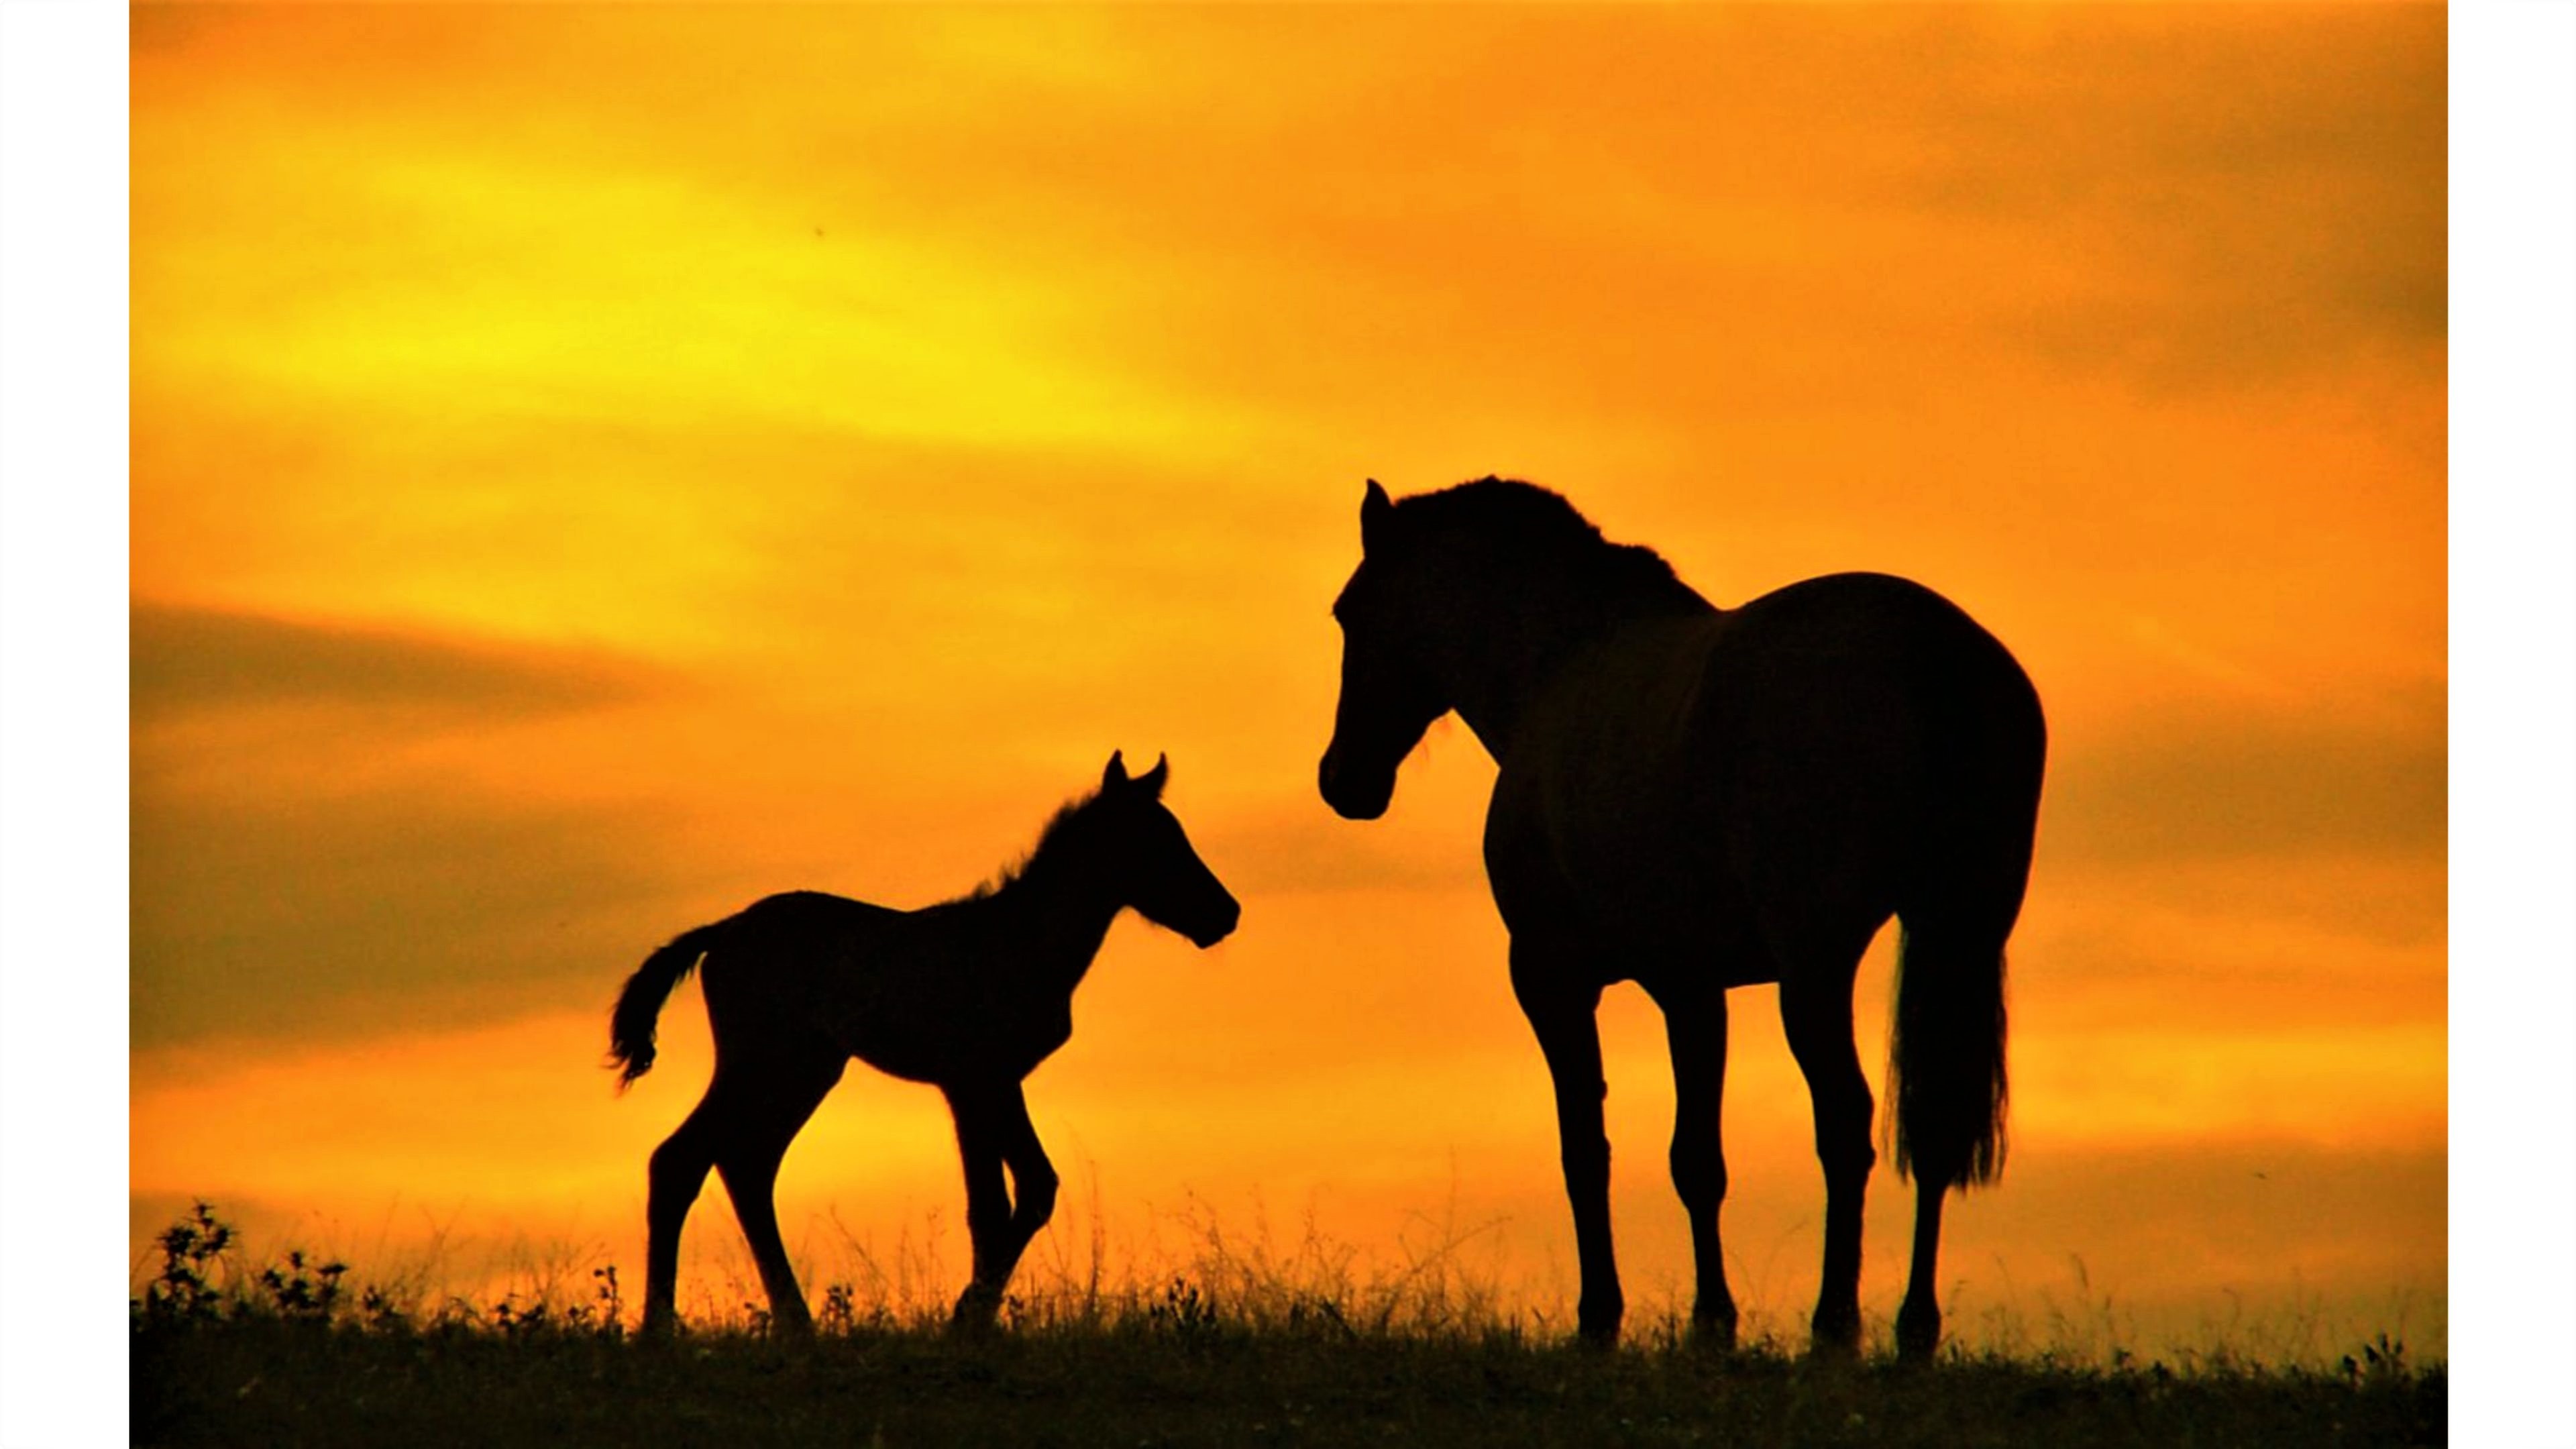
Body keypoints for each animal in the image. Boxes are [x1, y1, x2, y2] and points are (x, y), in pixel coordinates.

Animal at [607, 751, 1241, 1337]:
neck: (1022, 943)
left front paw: (973, 1316)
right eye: (1154, 842)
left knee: (744, 1165)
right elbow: (1002, 1201)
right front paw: (967, 1320)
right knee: (682, 1159)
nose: (1225, 913)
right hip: (759, 1063)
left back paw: (793, 1324)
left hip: (804, 1071)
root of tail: (722, 932)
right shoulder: (975, 1080)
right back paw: (660, 1328)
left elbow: (1023, 1191)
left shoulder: (990, 1083)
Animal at [1317, 478, 2044, 1360]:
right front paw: (1711, 1323)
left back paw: (1834, 1326)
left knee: (1844, 1121)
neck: (1560, 668)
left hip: (1817, 962)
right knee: (1932, 1125)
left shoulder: (1552, 976)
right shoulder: (1693, 987)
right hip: (1956, 930)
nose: (1343, 780)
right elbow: (1699, 1160)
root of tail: (1935, 656)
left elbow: (1587, 1147)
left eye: (1350, 613)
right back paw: (1914, 1332)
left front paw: (1607, 1318)